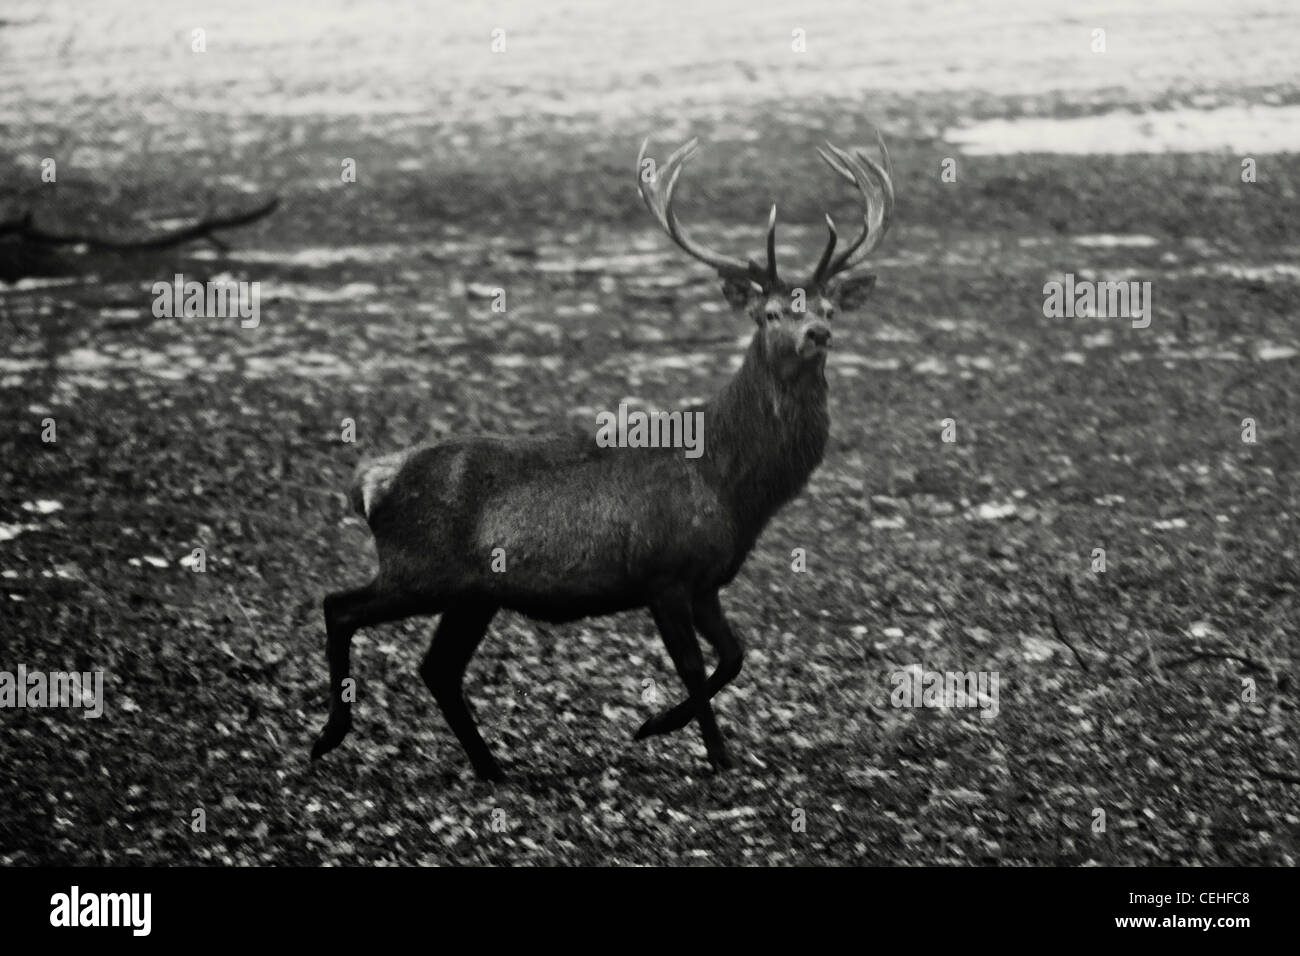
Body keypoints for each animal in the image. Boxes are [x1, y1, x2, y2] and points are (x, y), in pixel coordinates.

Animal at [310, 131, 895, 781]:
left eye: (828, 309)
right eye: (770, 312)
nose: (817, 334)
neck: (733, 485)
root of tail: (370, 482)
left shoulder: (707, 581)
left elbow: (736, 655)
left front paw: (671, 729)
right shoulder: (664, 573)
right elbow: (695, 667)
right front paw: (699, 745)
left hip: (472, 593)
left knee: (437, 668)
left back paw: (491, 766)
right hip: (420, 569)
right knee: (340, 607)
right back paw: (331, 735)